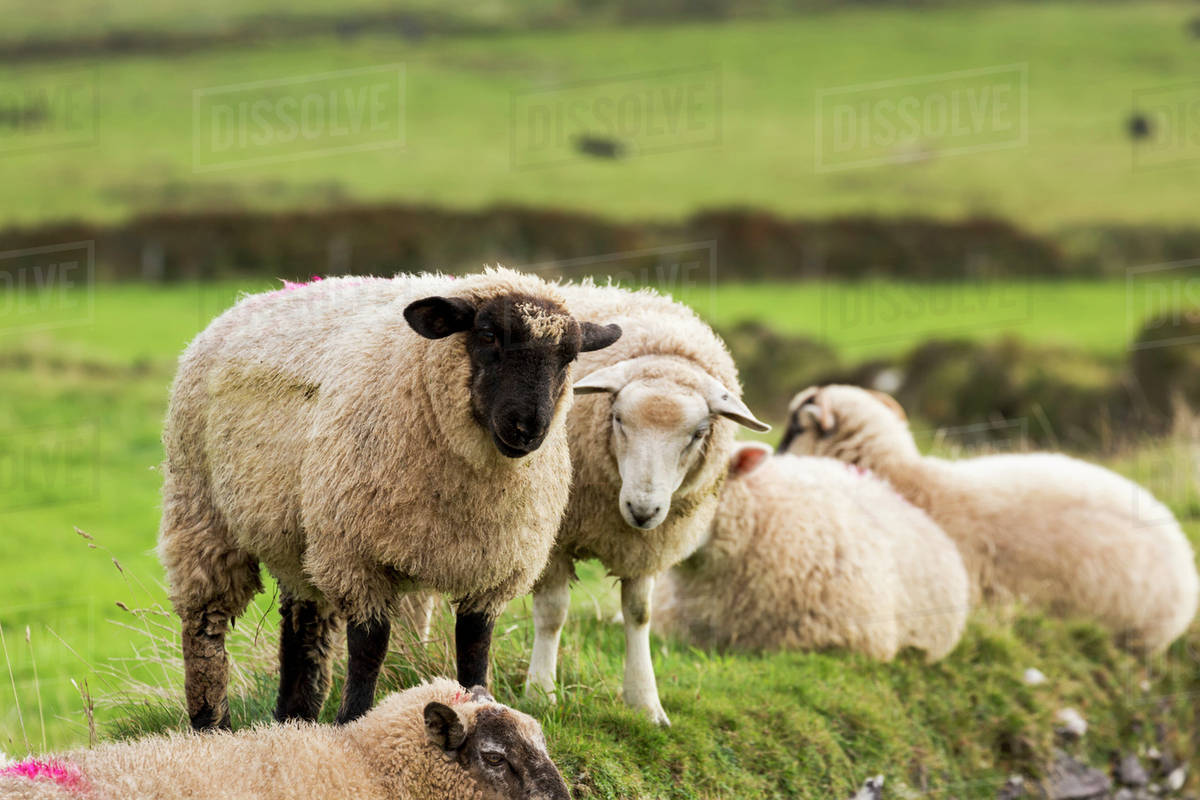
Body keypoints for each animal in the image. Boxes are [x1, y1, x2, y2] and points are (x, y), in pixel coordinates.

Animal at [158, 268, 622, 731]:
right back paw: (210, 722)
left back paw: (294, 719)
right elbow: (369, 650)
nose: (527, 428)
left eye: (569, 357)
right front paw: (354, 723)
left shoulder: (492, 569)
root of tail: (249, 300)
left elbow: (475, 649)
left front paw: (479, 705)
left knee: (304, 623)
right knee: (204, 624)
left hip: (302, 535)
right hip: (201, 512)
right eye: (488, 335)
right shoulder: (359, 557)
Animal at [522, 283, 769, 726]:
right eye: (618, 419)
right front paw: (540, 693)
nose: (643, 510)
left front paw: (645, 703)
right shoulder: (553, 535)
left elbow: (639, 615)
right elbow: (552, 613)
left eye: (699, 433)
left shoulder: (645, 548)